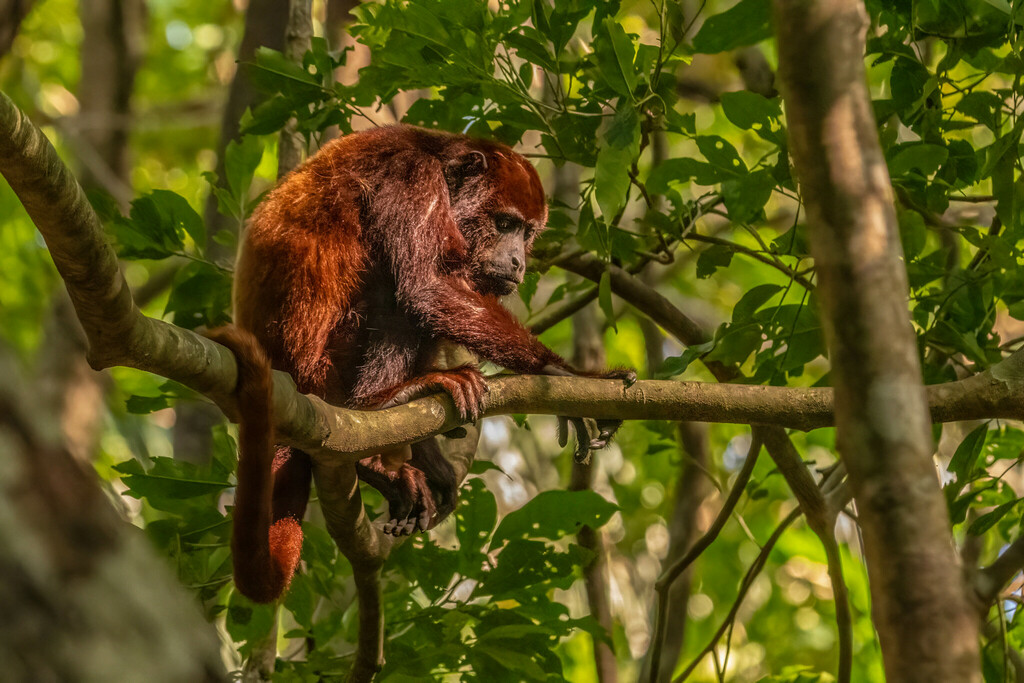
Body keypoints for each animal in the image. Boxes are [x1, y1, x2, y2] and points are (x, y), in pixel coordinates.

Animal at [210, 124, 634, 603]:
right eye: (504, 224)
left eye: (528, 233)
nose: (517, 261)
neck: (441, 159)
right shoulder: (410, 178)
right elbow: (425, 285)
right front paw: (563, 375)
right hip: (323, 369)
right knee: (397, 294)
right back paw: (379, 409)